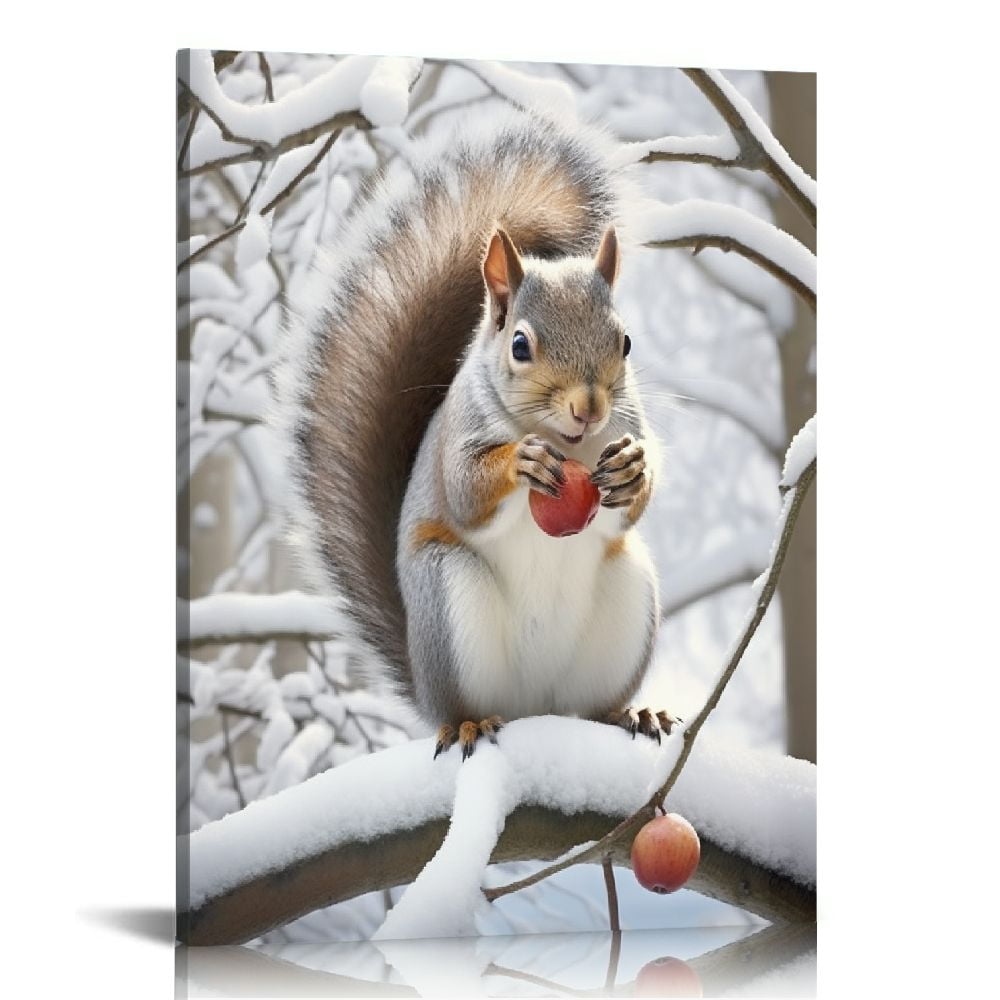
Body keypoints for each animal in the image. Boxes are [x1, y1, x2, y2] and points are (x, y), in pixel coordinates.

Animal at [275, 107, 676, 760]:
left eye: (624, 341)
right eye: (520, 345)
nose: (589, 408)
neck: (566, 443)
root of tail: (535, 707)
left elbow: (628, 506)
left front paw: (632, 471)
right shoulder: (458, 439)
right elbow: (466, 492)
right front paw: (521, 462)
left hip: (629, 593)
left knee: (592, 706)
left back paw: (629, 714)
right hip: (449, 597)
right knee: (465, 704)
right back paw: (467, 724)